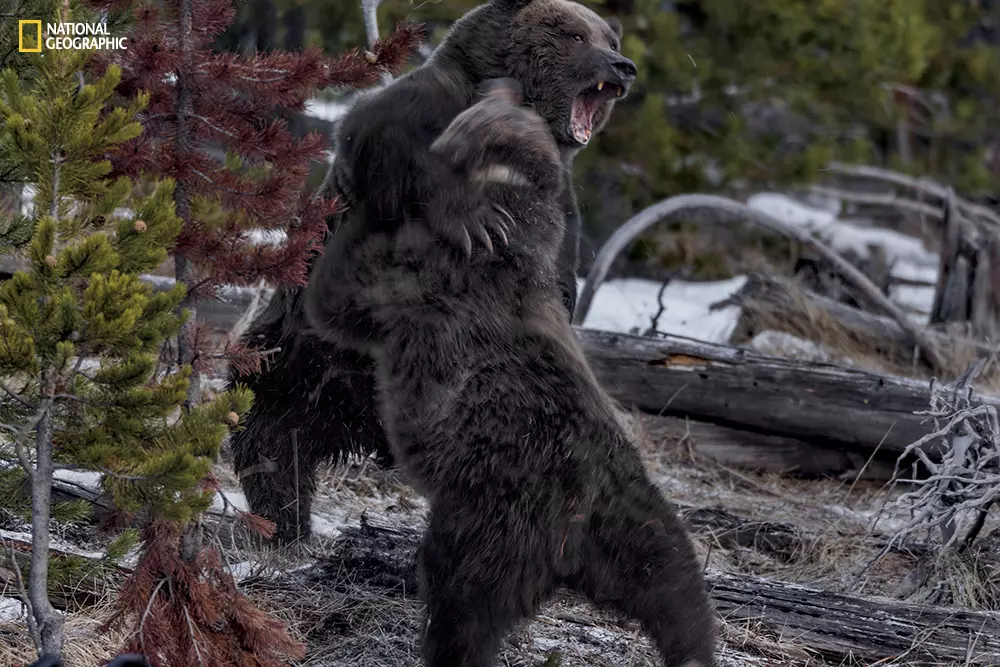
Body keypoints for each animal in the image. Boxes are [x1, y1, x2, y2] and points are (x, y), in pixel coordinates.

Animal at [228, 0, 632, 544]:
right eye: (575, 36)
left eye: (610, 39)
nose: (623, 66)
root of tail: (357, 423)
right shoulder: (415, 114)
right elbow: (388, 144)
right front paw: (477, 221)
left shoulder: (559, 193)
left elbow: (561, 246)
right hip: (290, 359)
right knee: (267, 439)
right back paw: (283, 524)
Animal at [300, 78, 716, 667]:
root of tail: (572, 547)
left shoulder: (423, 287)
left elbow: (341, 295)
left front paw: (355, 192)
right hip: (636, 523)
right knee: (680, 591)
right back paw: (695, 646)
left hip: (494, 517)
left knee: (461, 601)